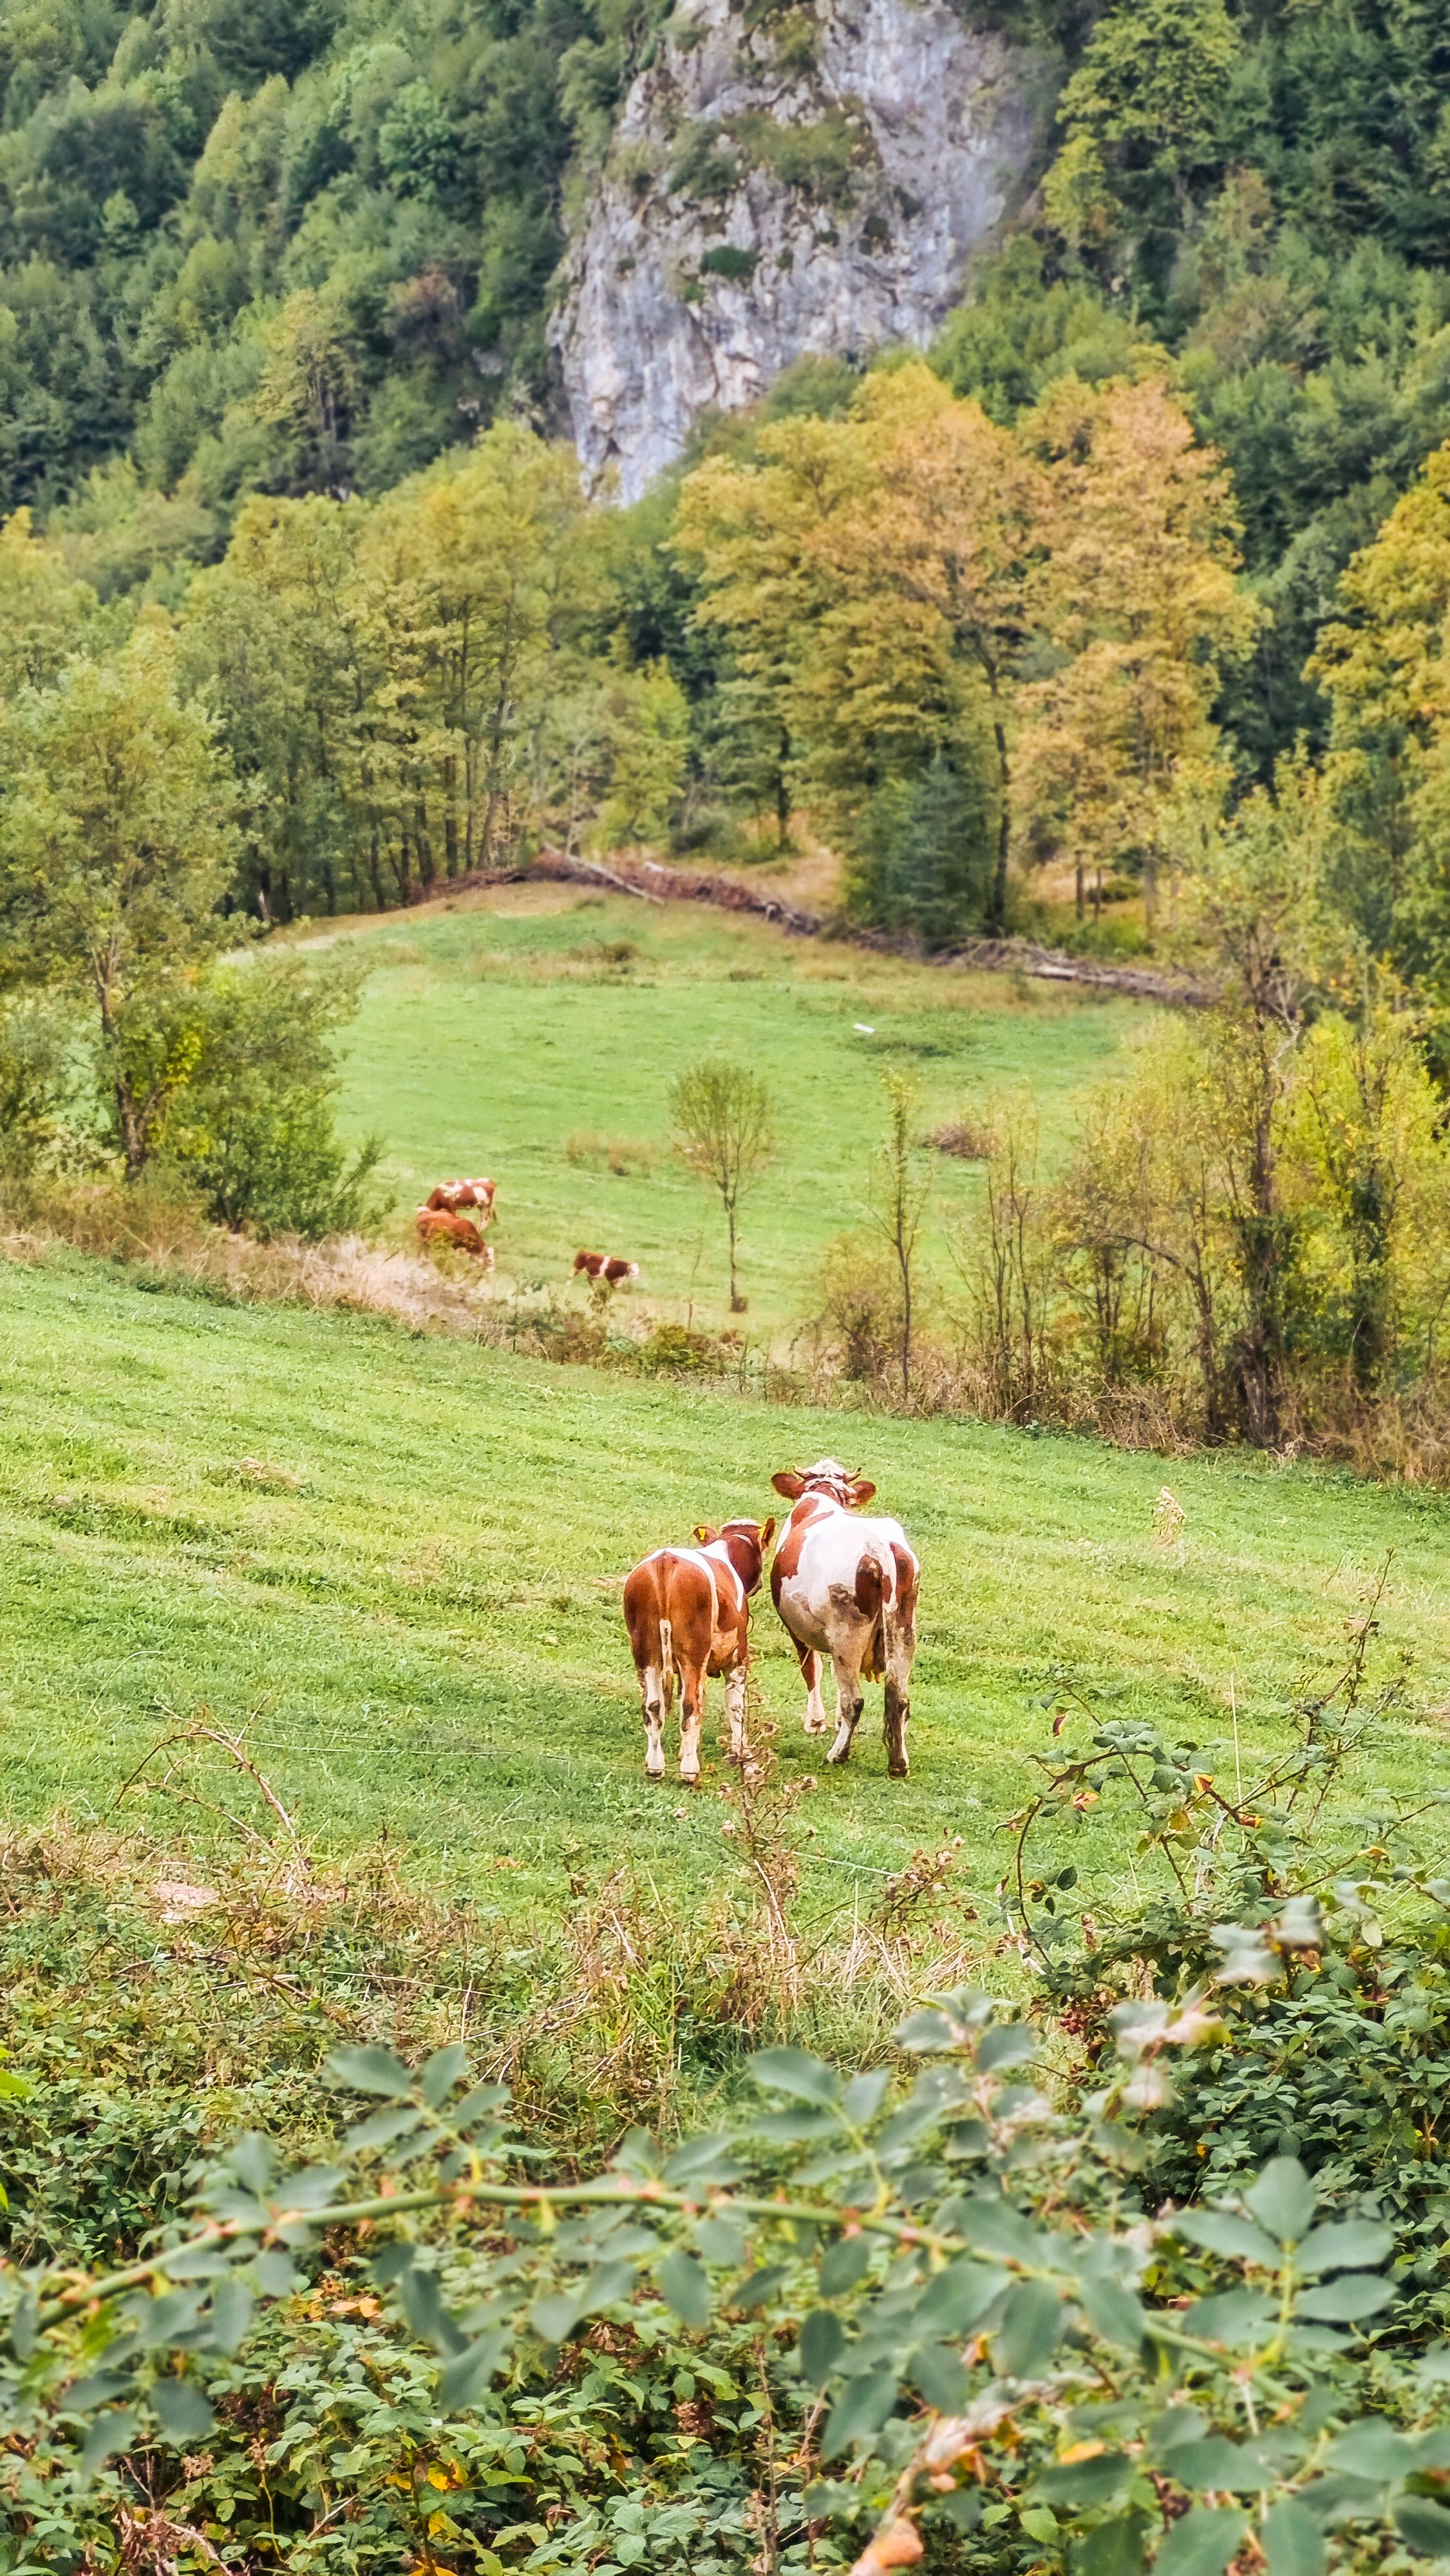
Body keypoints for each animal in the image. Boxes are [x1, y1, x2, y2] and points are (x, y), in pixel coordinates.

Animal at [622, 1517, 776, 1783]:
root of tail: (665, 1561)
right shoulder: (738, 1657)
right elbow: (736, 1705)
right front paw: (741, 1752)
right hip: (693, 1651)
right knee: (690, 1704)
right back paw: (689, 1772)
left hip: (646, 1650)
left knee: (653, 1705)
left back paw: (655, 1767)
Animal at [769, 1459, 919, 1779]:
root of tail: (878, 1546)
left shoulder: (797, 1630)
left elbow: (811, 1670)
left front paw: (815, 1722)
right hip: (904, 1626)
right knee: (899, 1696)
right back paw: (898, 1762)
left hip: (846, 1631)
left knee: (855, 1699)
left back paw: (838, 1754)